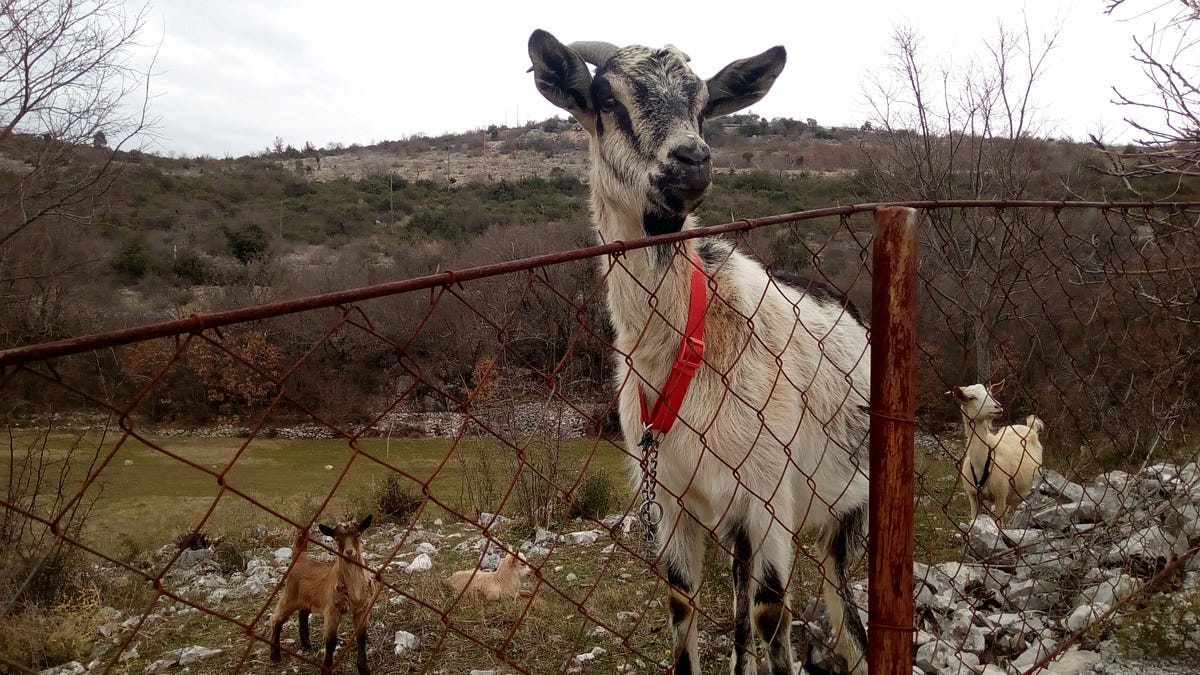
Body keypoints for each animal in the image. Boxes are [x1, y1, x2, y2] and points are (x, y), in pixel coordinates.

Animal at [270, 515, 375, 675]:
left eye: (358, 534)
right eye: (337, 538)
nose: (349, 552)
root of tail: (300, 558)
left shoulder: (362, 608)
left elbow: (361, 638)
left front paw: (364, 669)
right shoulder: (332, 610)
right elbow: (331, 641)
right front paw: (326, 668)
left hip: (305, 598)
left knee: (303, 614)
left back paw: (306, 644)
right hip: (290, 594)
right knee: (276, 619)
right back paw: (275, 656)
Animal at [529, 31, 870, 675]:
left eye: (705, 103)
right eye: (606, 99)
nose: (691, 160)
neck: (686, 341)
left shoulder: (769, 495)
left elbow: (771, 613)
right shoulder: (673, 500)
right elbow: (682, 603)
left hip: (845, 500)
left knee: (834, 599)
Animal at [949, 382, 1045, 526]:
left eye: (990, 393)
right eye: (971, 397)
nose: (998, 407)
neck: (981, 464)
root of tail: (1030, 427)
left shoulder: (1001, 494)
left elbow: (999, 524)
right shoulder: (972, 495)